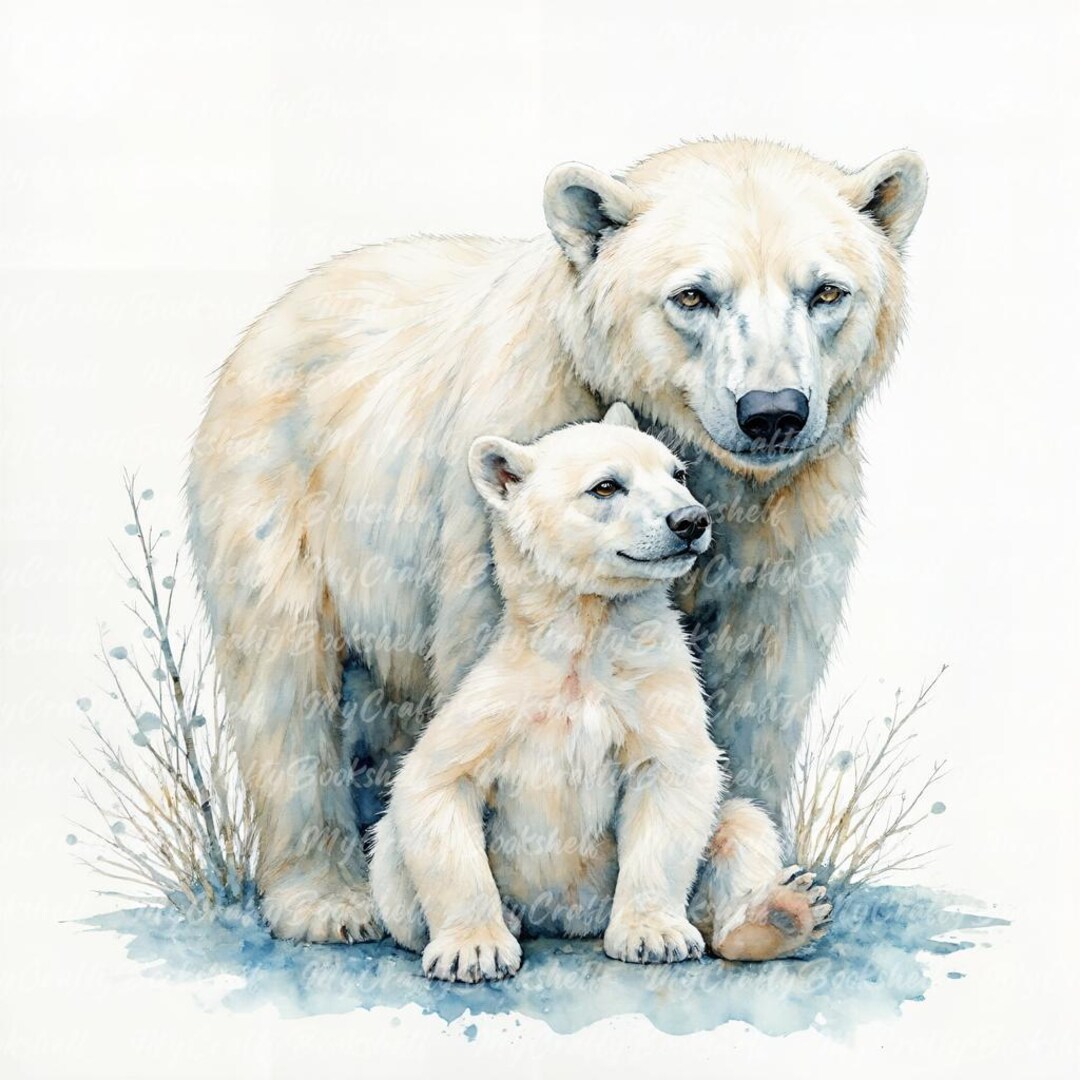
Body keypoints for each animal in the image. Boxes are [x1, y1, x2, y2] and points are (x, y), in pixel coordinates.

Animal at [370, 404, 829, 981]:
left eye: (677, 473)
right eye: (606, 486)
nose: (690, 521)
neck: (587, 642)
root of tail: (568, 918)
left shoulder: (655, 689)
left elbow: (674, 781)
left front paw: (654, 936)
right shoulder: (499, 700)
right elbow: (435, 783)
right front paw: (474, 950)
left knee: (744, 824)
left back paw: (779, 917)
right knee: (389, 849)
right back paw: (511, 921)